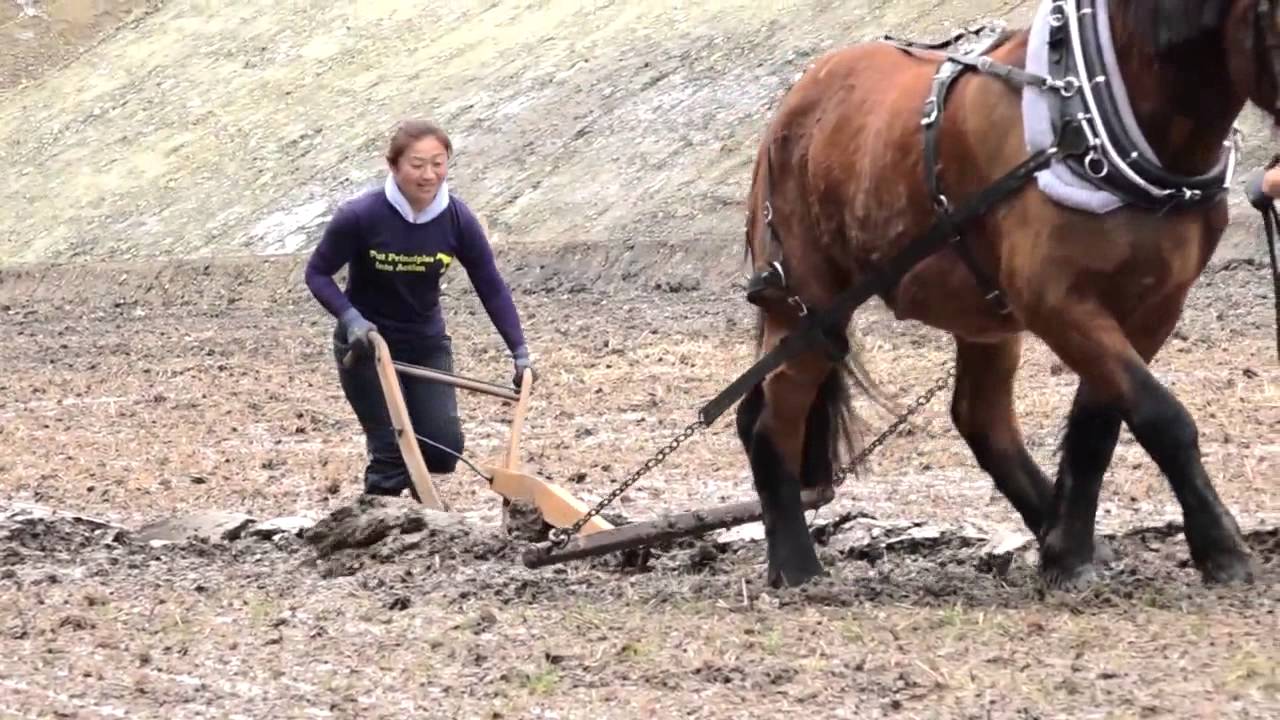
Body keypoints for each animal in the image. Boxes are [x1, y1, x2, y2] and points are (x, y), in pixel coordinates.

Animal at [735, 0, 1280, 590]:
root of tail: (796, 103)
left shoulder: (1154, 307)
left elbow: (1100, 421)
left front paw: (1068, 550)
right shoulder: (1055, 300)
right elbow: (1161, 416)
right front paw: (1221, 548)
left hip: (980, 316)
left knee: (981, 418)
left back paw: (1051, 526)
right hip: (809, 308)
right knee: (771, 421)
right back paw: (795, 563)